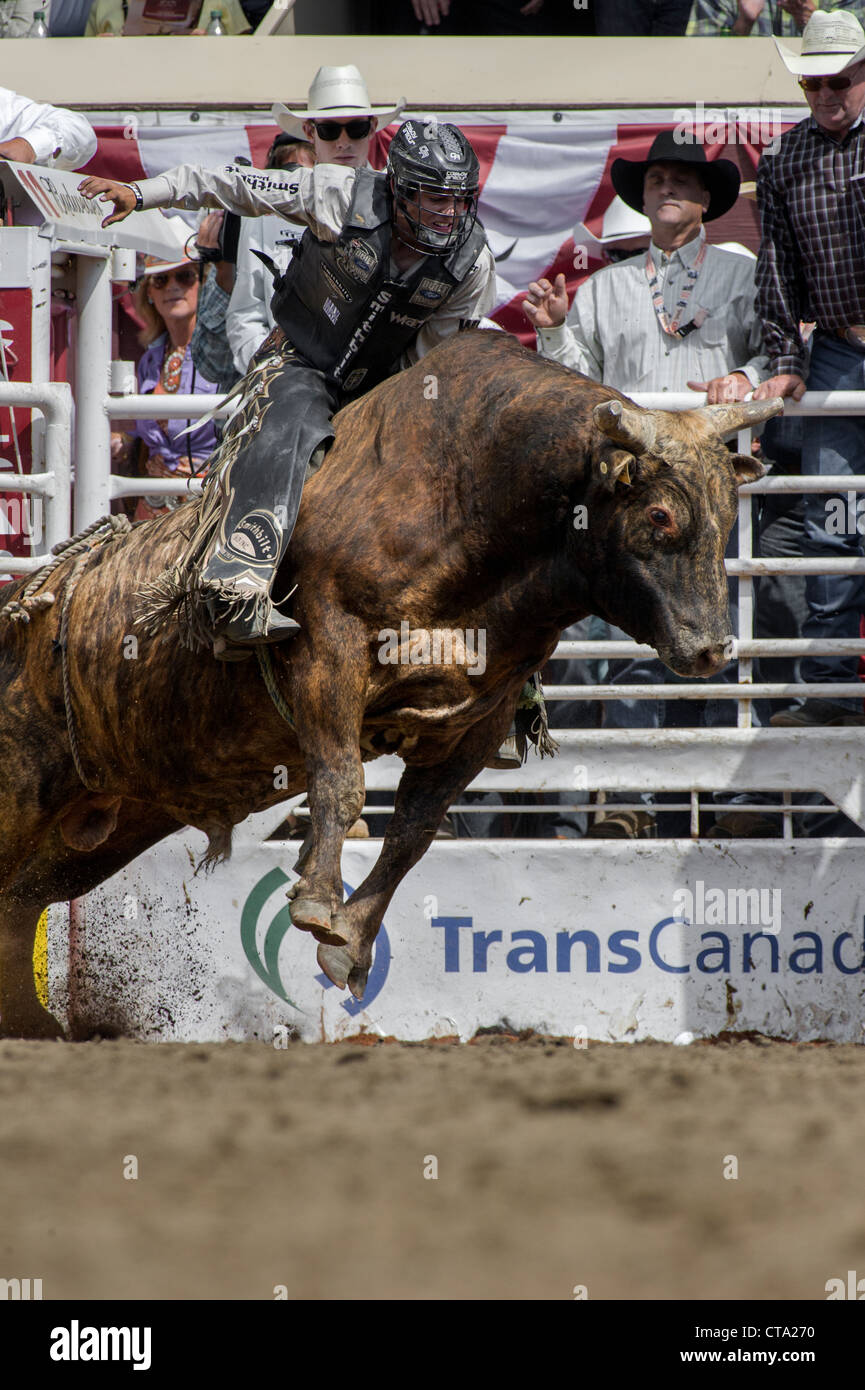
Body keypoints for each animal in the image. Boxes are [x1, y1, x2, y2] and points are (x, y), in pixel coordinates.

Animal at [0, 331, 781, 1038]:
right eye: (660, 514)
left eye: (726, 519)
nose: (710, 648)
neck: (469, 503)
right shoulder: (329, 650)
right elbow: (342, 785)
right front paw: (318, 902)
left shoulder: (477, 722)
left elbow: (413, 831)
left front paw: (349, 944)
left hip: (96, 829)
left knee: (18, 903)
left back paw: (34, 1025)